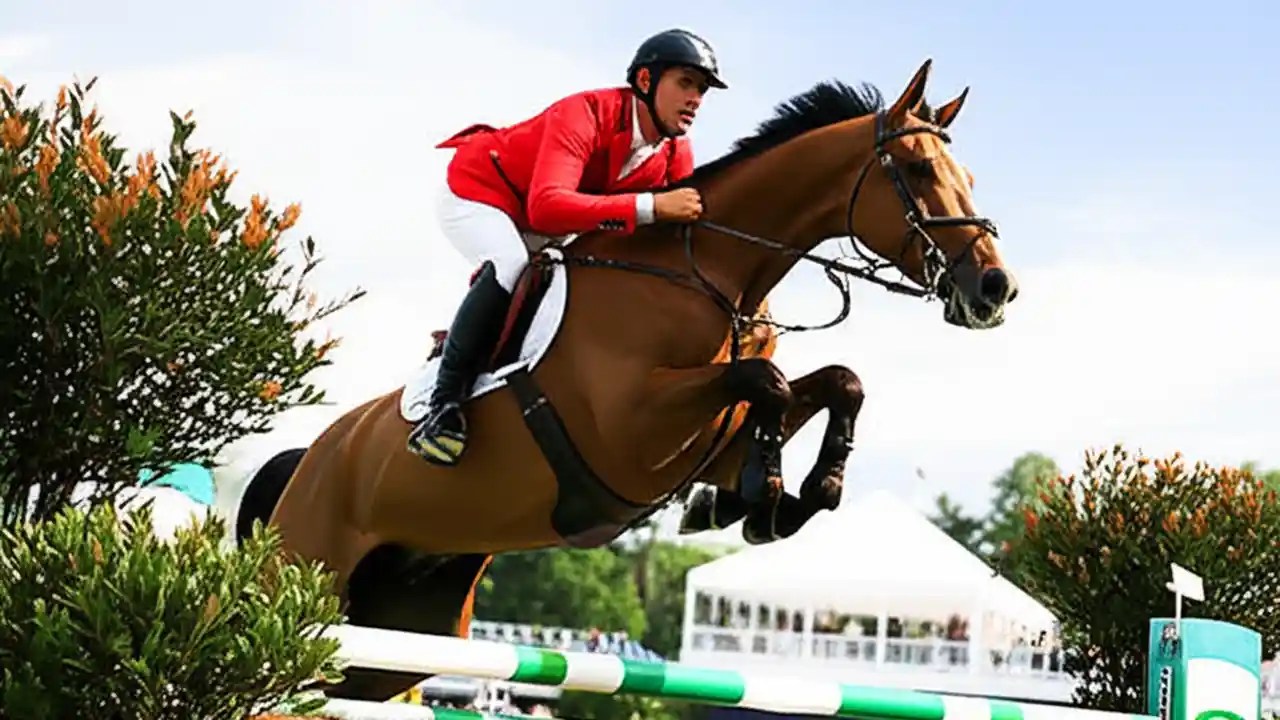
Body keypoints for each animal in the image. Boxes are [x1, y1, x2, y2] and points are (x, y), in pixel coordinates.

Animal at [234, 58, 1018, 701]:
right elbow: (766, 378)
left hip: (392, 641)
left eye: (972, 179)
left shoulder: (709, 434)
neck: (712, 273)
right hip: (301, 589)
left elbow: (832, 382)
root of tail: (306, 461)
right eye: (917, 169)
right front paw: (766, 495)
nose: (994, 288)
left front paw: (778, 499)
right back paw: (441, 426)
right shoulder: (628, 431)